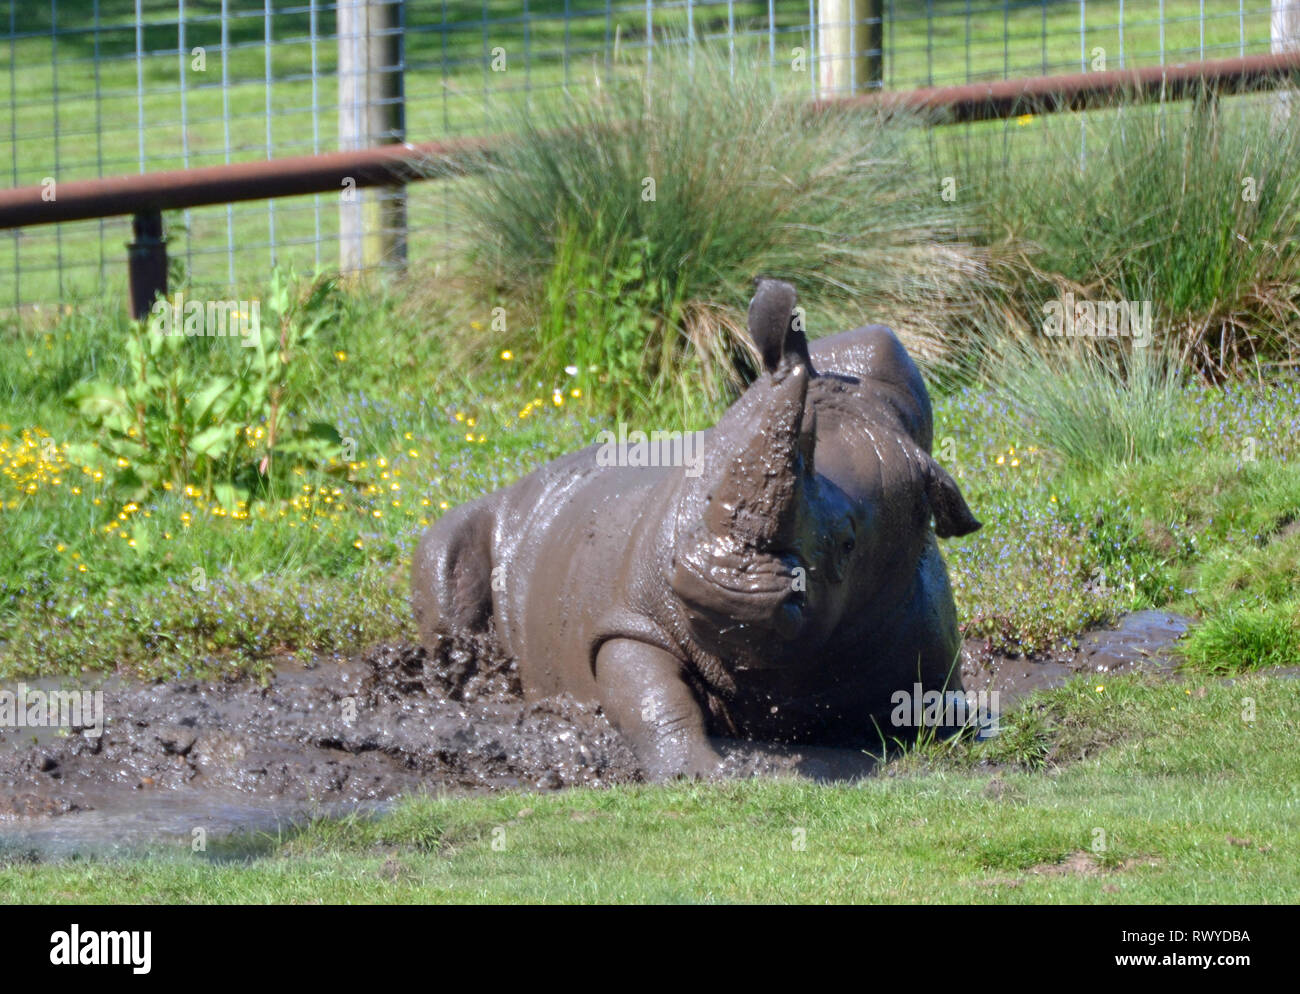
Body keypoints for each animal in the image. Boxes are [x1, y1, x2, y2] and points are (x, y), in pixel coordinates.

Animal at [411, 279, 981, 779]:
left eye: (847, 544)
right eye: (709, 490)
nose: (728, 589)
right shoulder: (634, 615)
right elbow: (650, 690)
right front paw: (695, 774)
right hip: (493, 518)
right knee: (445, 556)